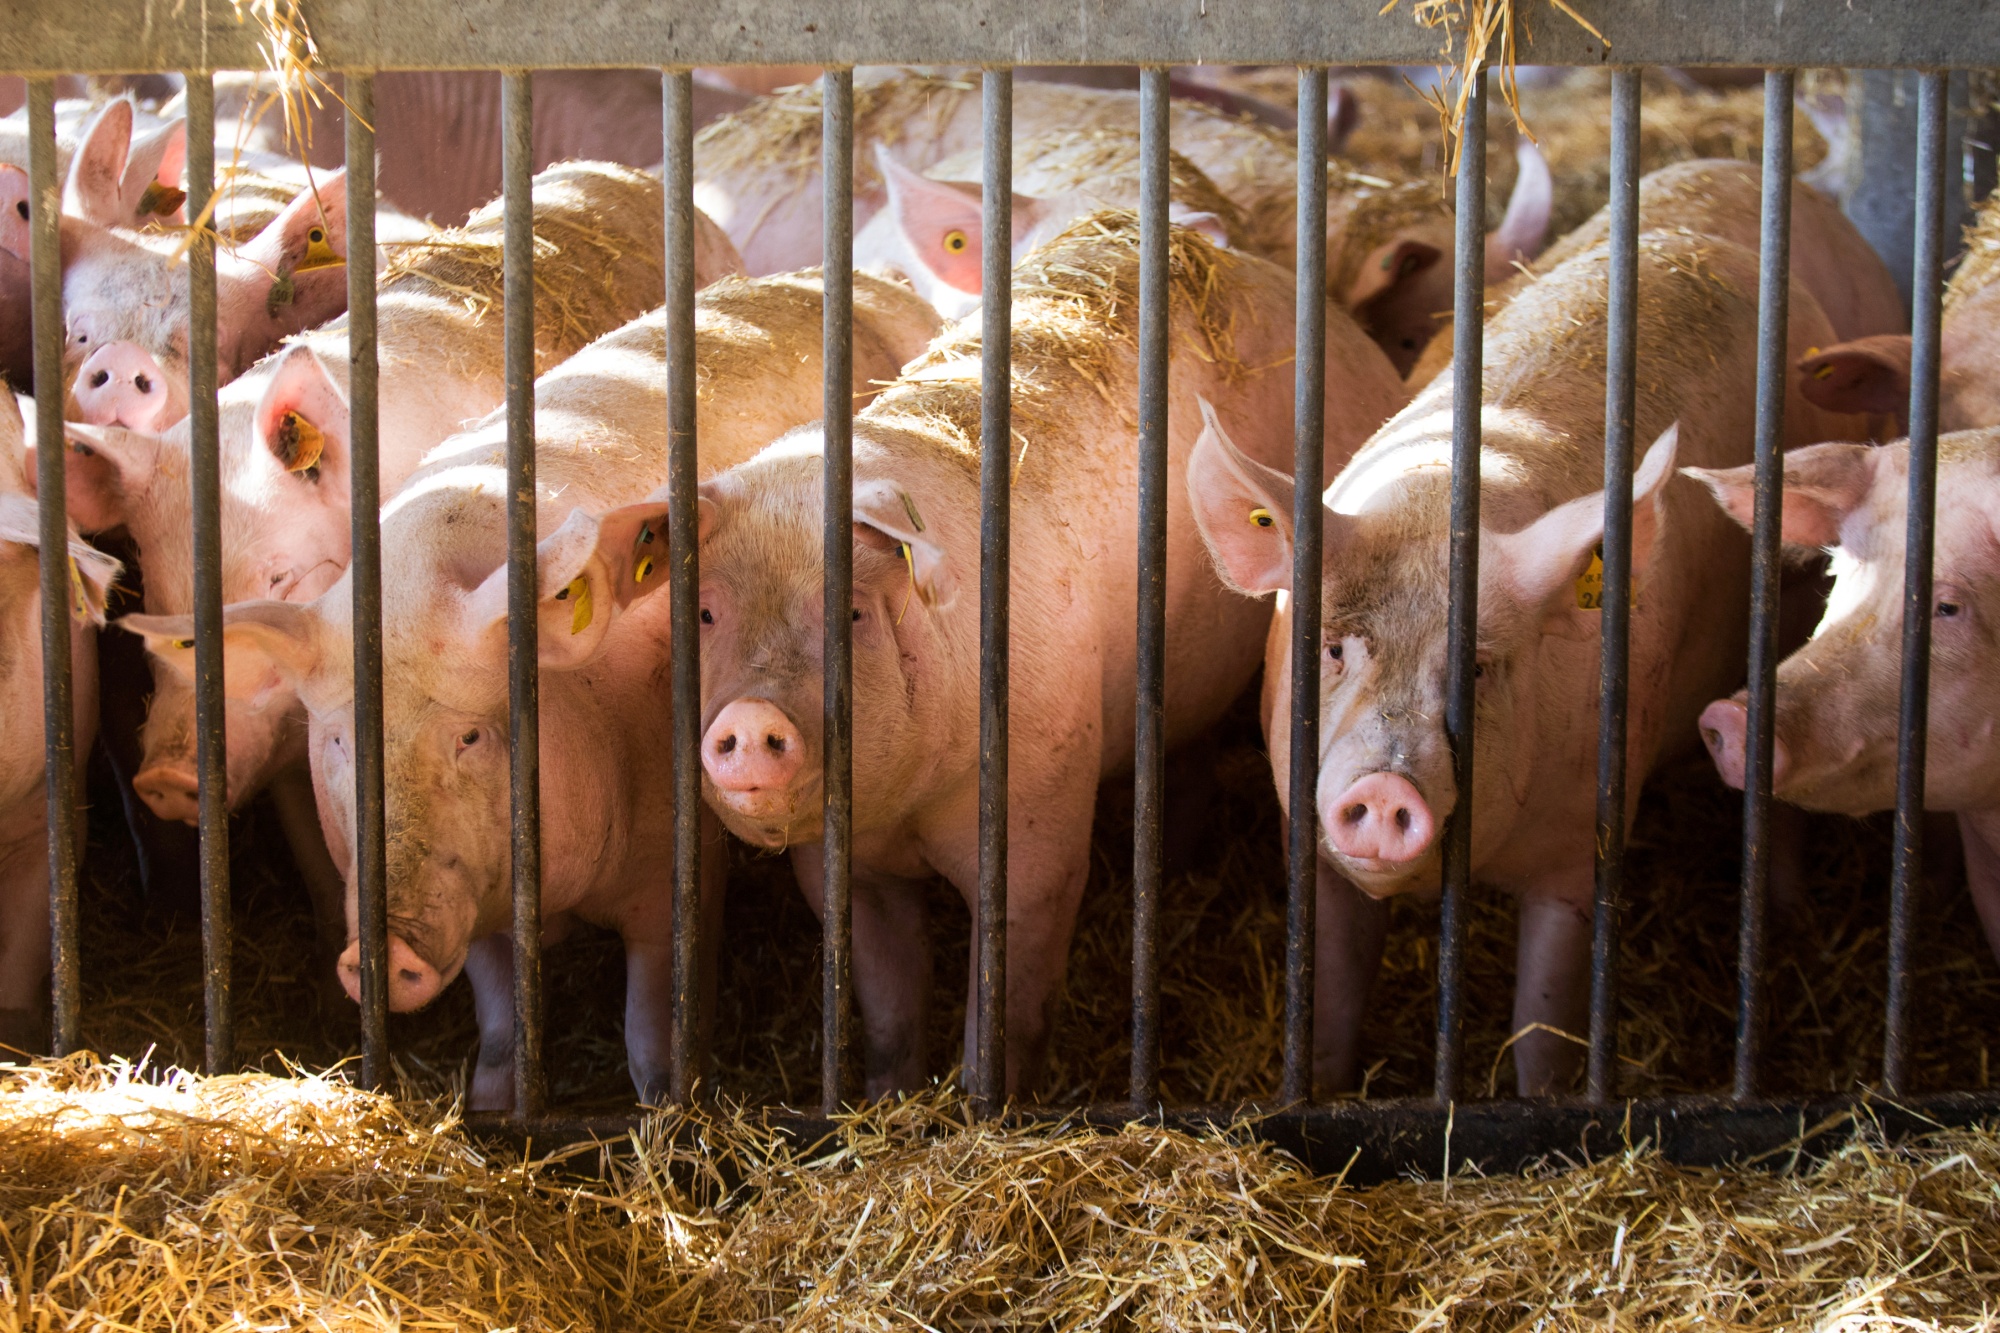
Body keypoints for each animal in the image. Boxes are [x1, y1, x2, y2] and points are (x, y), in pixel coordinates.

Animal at [125, 272, 941, 1110]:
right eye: (341, 740)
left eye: (472, 734)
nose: (380, 950)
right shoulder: (480, 901)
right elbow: (497, 1015)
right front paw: (493, 1105)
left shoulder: (674, 866)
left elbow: (652, 1027)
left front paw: (664, 1110)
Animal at [692, 214, 1407, 1097]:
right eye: (706, 611)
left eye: (852, 611)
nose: (751, 714)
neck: (910, 805)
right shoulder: (842, 866)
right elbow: (889, 998)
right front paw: (890, 1096)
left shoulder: (1042, 818)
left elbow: (1011, 996)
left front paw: (979, 1102)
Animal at [1189, 228, 1864, 1097]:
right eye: (1335, 648)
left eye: (1478, 667)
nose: (1383, 785)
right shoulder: (1305, 836)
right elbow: (1332, 996)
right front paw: (1324, 1088)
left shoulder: (1582, 843)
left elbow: (1542, 1026)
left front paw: (1543, 1096)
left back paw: (1788, 914)